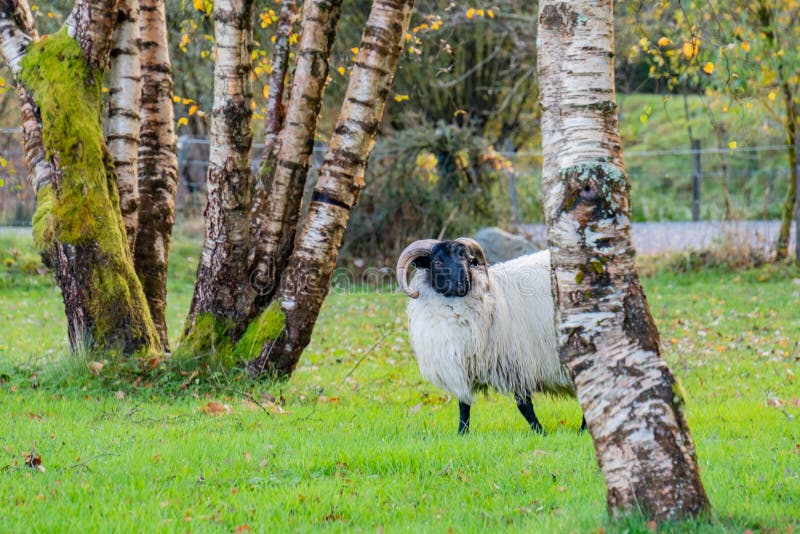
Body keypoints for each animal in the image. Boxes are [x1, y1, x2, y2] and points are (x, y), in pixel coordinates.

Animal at [396, 237, 585, 434]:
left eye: (468, 260)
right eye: (437, 262)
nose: (463, 283)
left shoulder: (517, 363)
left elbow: (524, 405)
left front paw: (540, 432)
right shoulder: (465, 368)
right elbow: (464, 405)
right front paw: (462, 433)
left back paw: (583, 430)